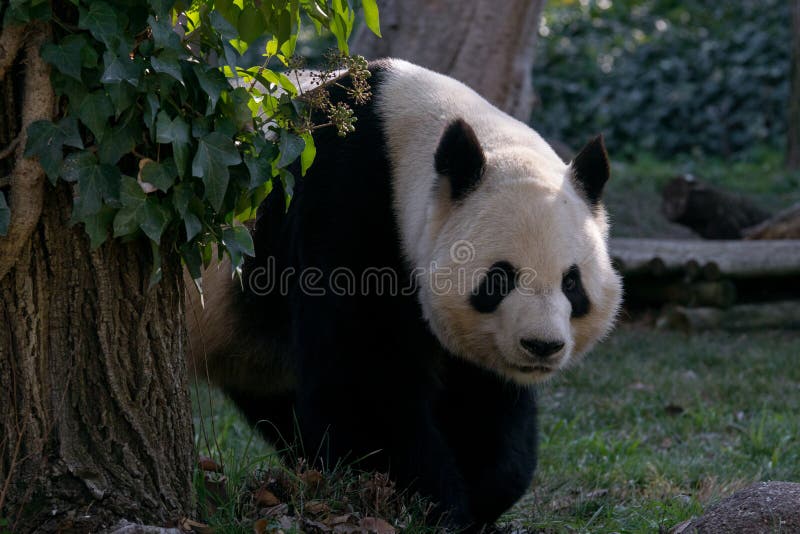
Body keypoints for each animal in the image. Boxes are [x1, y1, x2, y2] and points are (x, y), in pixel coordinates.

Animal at [186, 59, 622, 530]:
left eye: (571, 282)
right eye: (500, 279)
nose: (542, 346)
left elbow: (483, 395)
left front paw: (483, 492)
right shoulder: (344, 209)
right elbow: (362, 382)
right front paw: (433, 503)